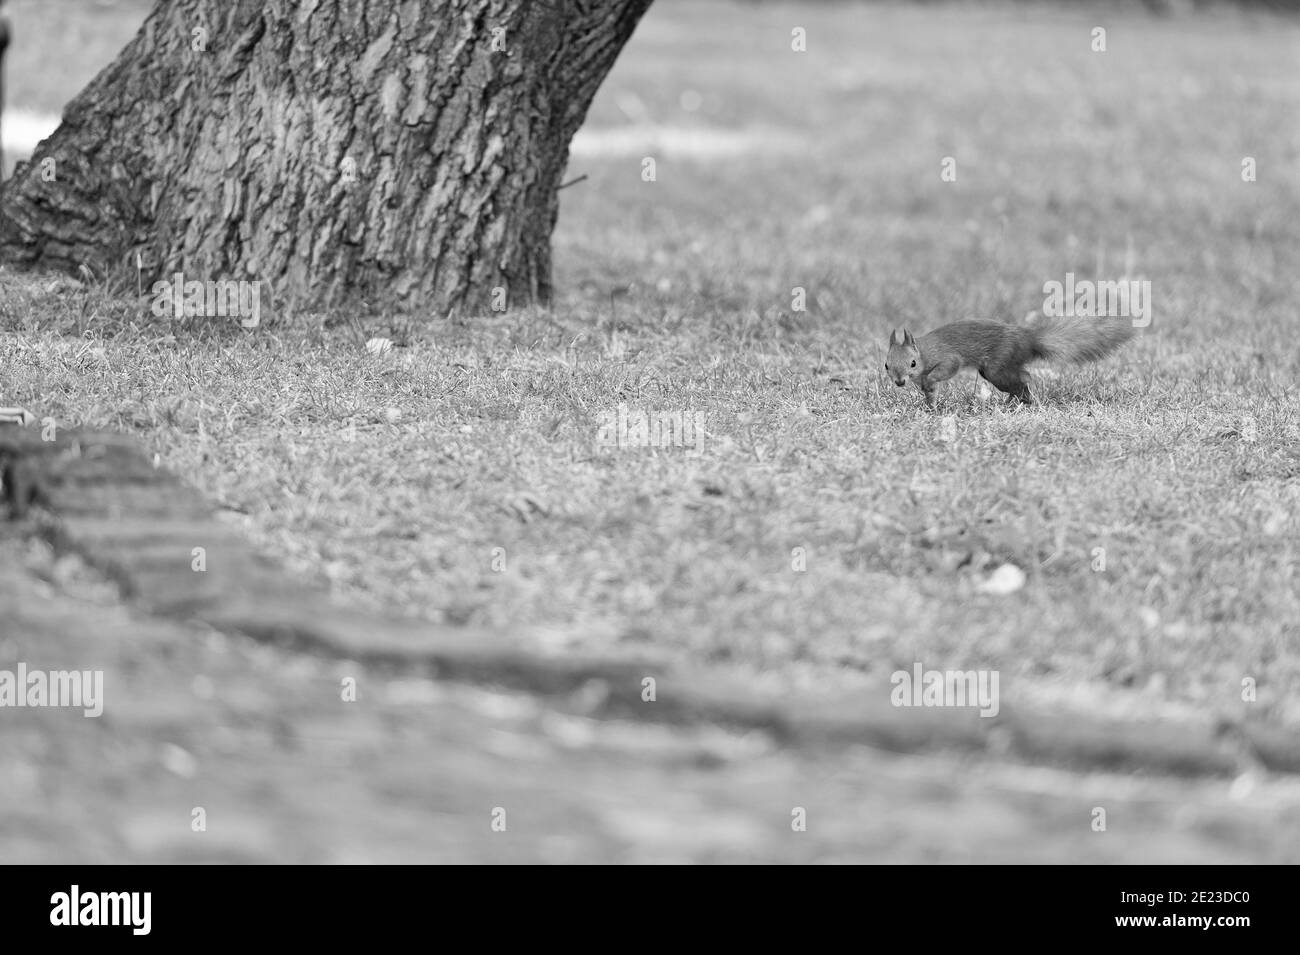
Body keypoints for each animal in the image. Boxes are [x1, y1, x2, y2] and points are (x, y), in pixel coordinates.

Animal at [884, 318, 1135, 408]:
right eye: (886, 365)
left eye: (913, 363)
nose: (899, 382)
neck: (925, 352)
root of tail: (1028, 339)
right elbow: (930, 393)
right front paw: (929, 405)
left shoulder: (948, 358)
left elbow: (944, 369)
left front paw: (931, 382)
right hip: (993, 371)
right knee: (1020, 379)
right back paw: (1016, 400)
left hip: (997, 368)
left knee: (1025, 376)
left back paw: (1022, 400)